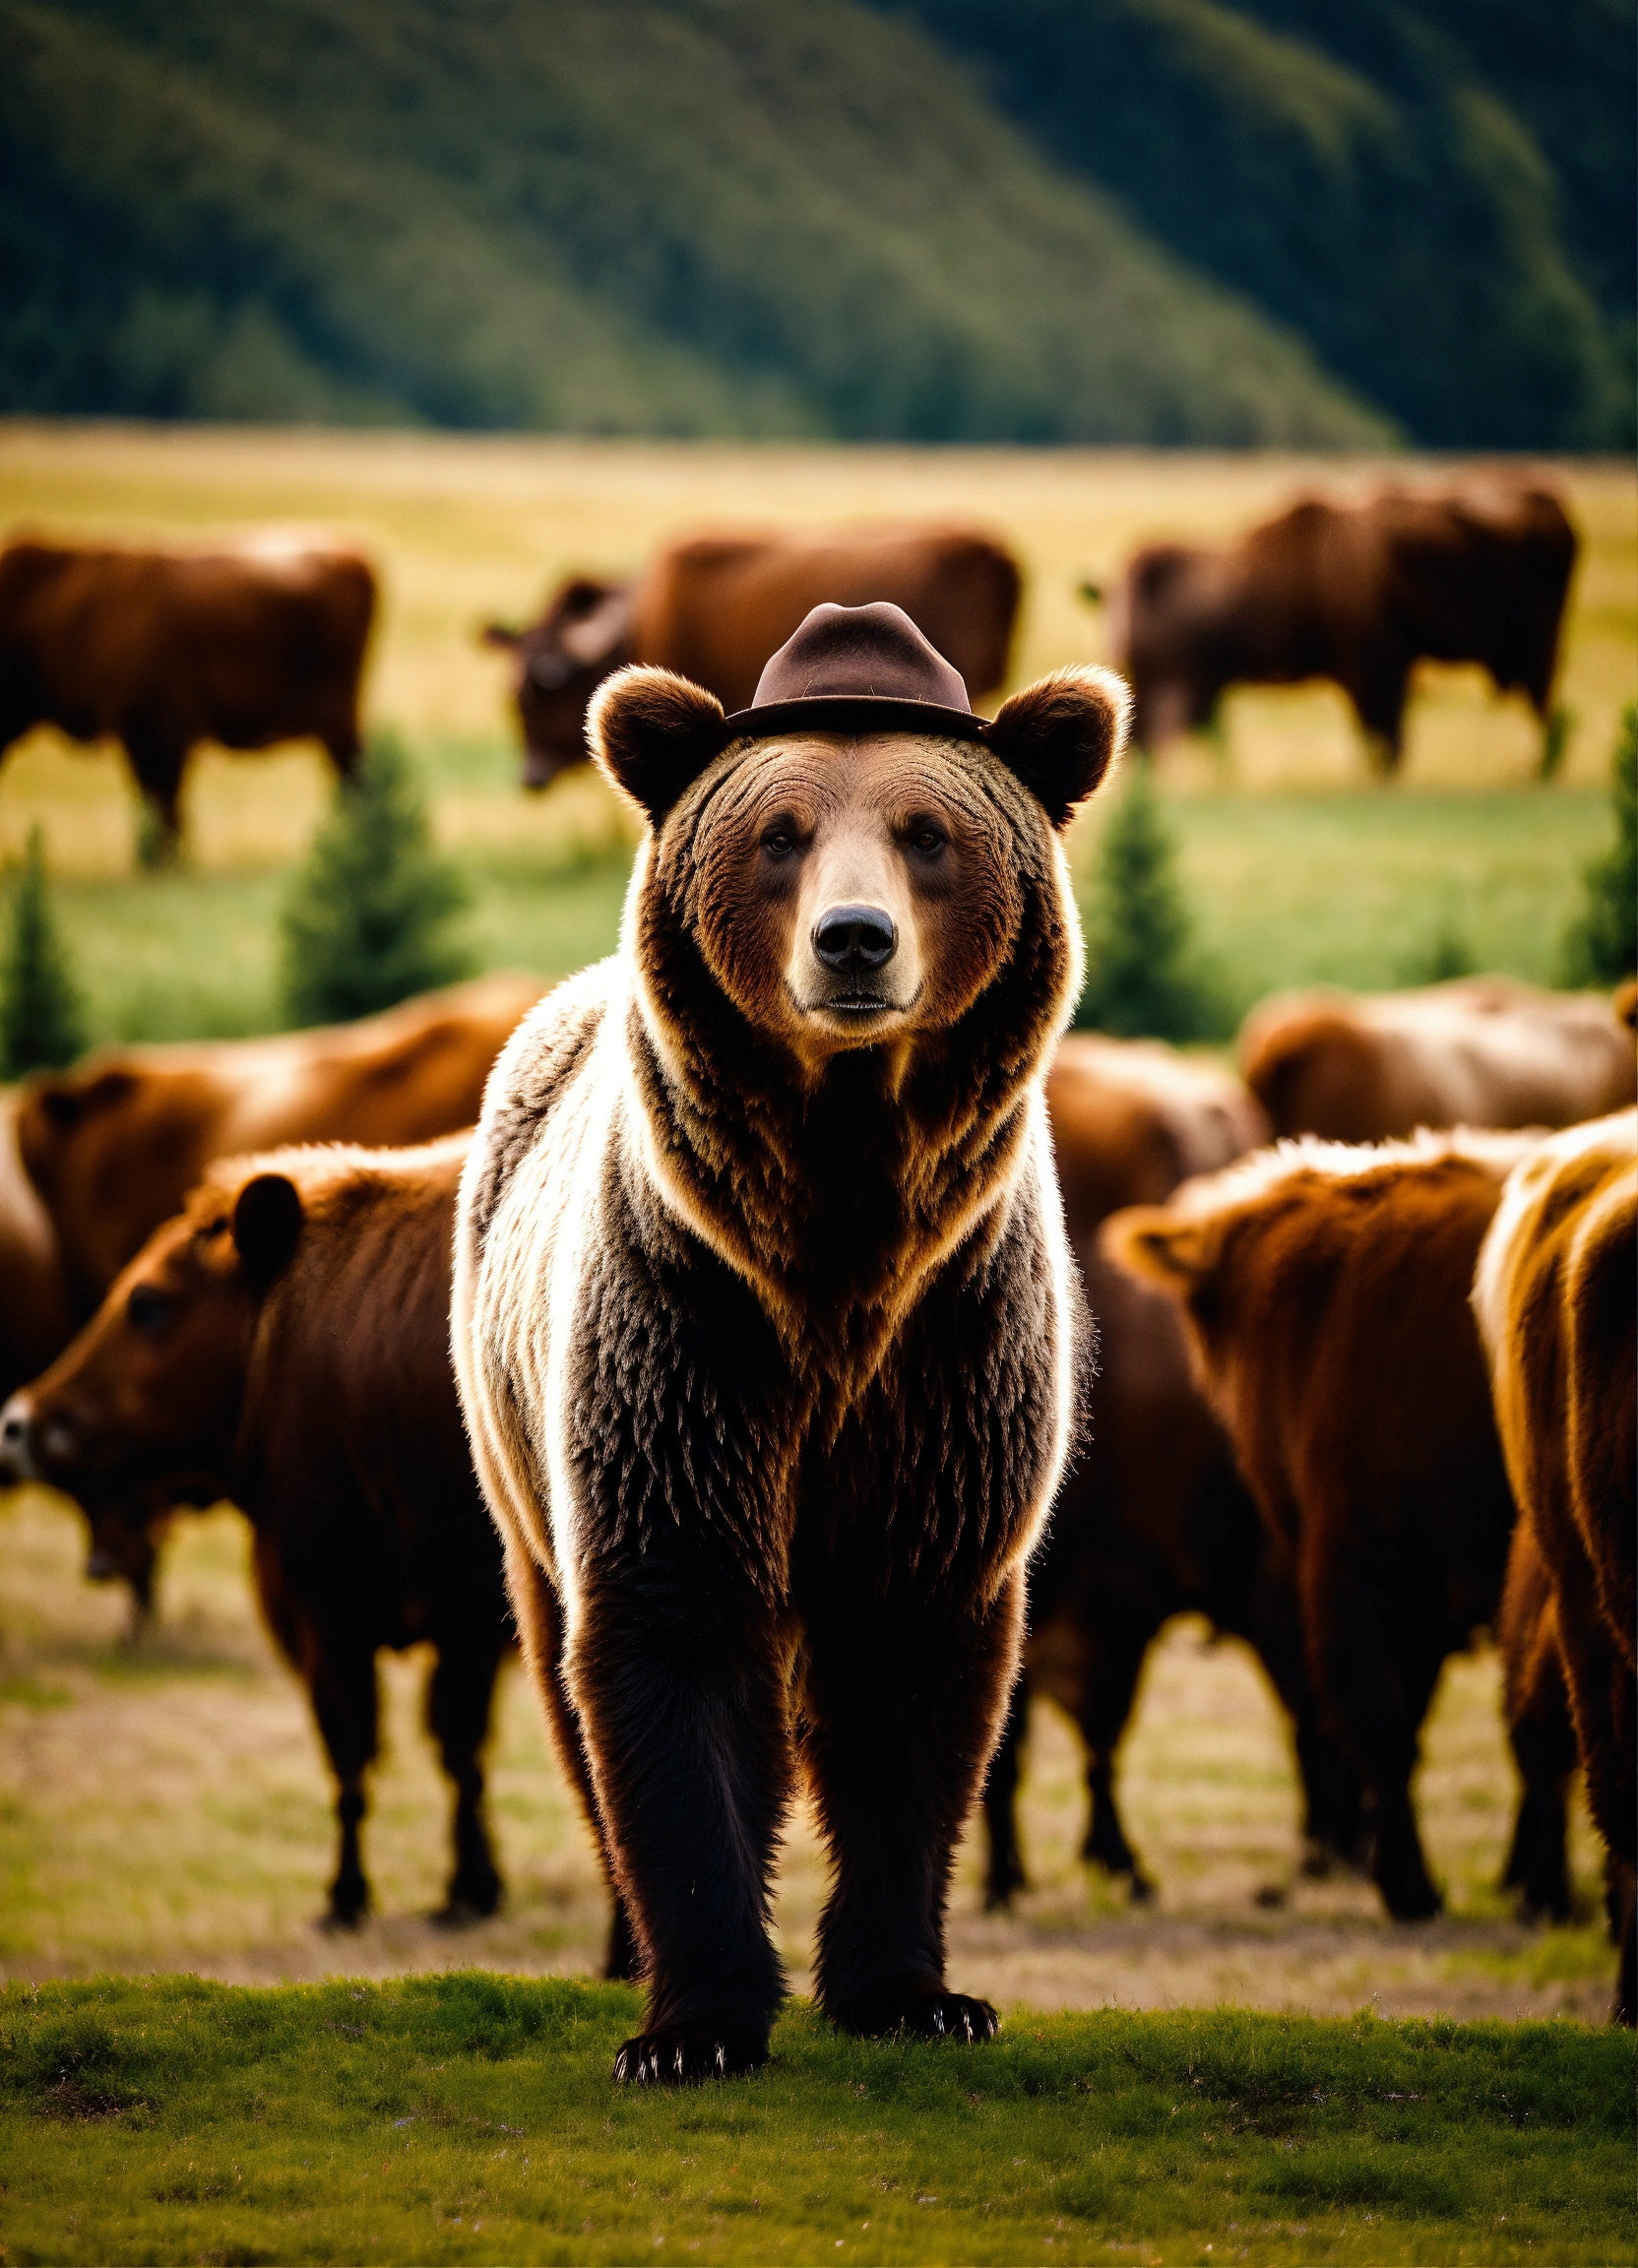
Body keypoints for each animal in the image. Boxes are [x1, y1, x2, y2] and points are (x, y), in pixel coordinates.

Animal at [453, 601, 1128, 2083]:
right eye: (780, 831)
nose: (855, 940)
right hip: (513, 1437)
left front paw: (914, 1991)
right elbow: (676, 1630)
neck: (836, 1239)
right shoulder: (688, 1334)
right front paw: (695, 2023)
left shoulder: (947, 1356)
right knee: (567, 1671)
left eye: (927, 831)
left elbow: (912, 1660)